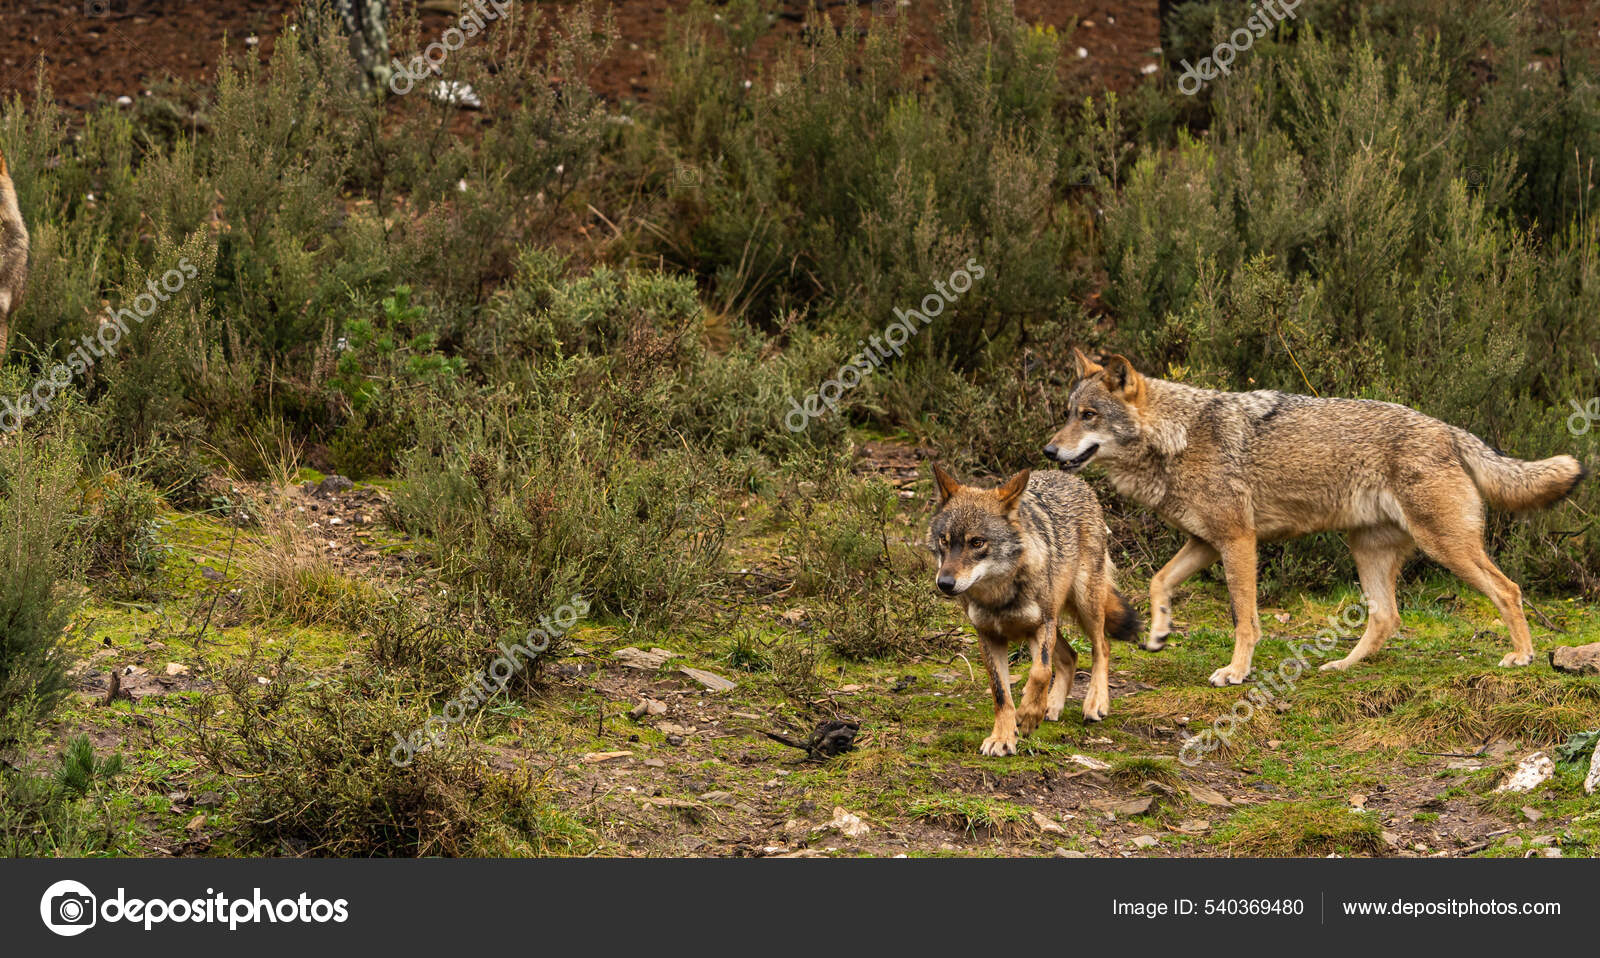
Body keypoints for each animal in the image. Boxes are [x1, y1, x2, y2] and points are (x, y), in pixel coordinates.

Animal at [928, 464, 1140, 755]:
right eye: (944, 540)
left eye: (977, 542)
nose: (945, 583)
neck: (999, 595)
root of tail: (1070, 477)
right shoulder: (988, 636)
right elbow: (1001, 694)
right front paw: (1002, 737)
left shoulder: (1043, 624)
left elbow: (1040, 672)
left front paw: (1028, 716)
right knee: (1071, 656)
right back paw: (1051, 706)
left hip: (1085, 604)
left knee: (1102, 647)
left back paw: (1095, 702)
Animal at [1044, 349, 1586, 686]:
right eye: (1069, 412)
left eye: (1089, 416)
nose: (1048, 451)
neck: (1176, 438)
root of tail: (1450, 430)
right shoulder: (1205, 543)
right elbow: (1159, 581)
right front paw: (1158, 632)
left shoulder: (1238, 541)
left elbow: (1244, 619)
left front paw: (1235, 673)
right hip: (1367, 552)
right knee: (1387, 617)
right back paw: (1342, 666)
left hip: (1447, 548)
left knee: (1508, 590)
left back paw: (1522, 656)